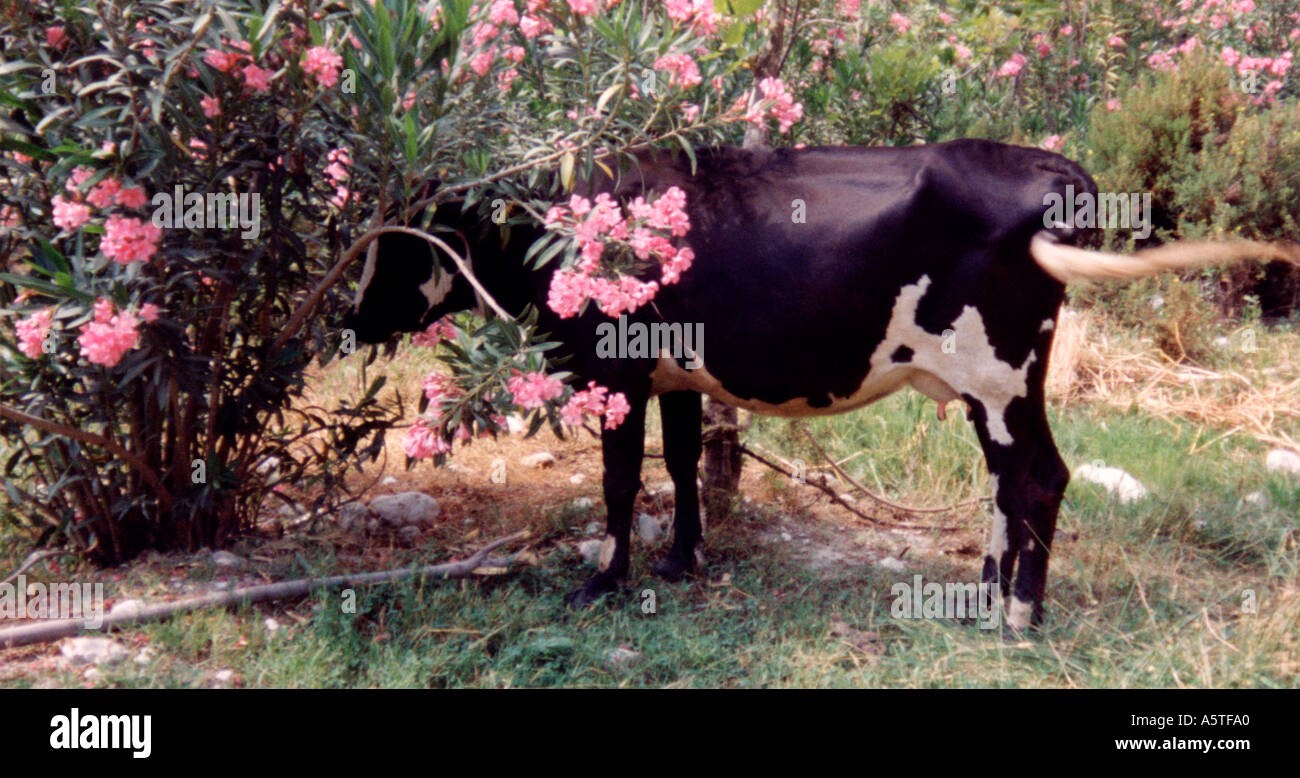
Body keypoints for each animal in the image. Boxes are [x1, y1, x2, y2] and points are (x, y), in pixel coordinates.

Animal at [343, 139, 1295, 630]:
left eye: (405, 241)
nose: (348, 321)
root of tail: (1056, 170)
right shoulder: (675, 370)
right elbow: (682, 464)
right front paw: (682, 560)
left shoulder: (615, 369)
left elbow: (618, 482)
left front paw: (601, 583)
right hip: (997, 385)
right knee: (1012, 480)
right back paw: (985, 591)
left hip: (1000, 375)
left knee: (1039, 478)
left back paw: (1019, 615)